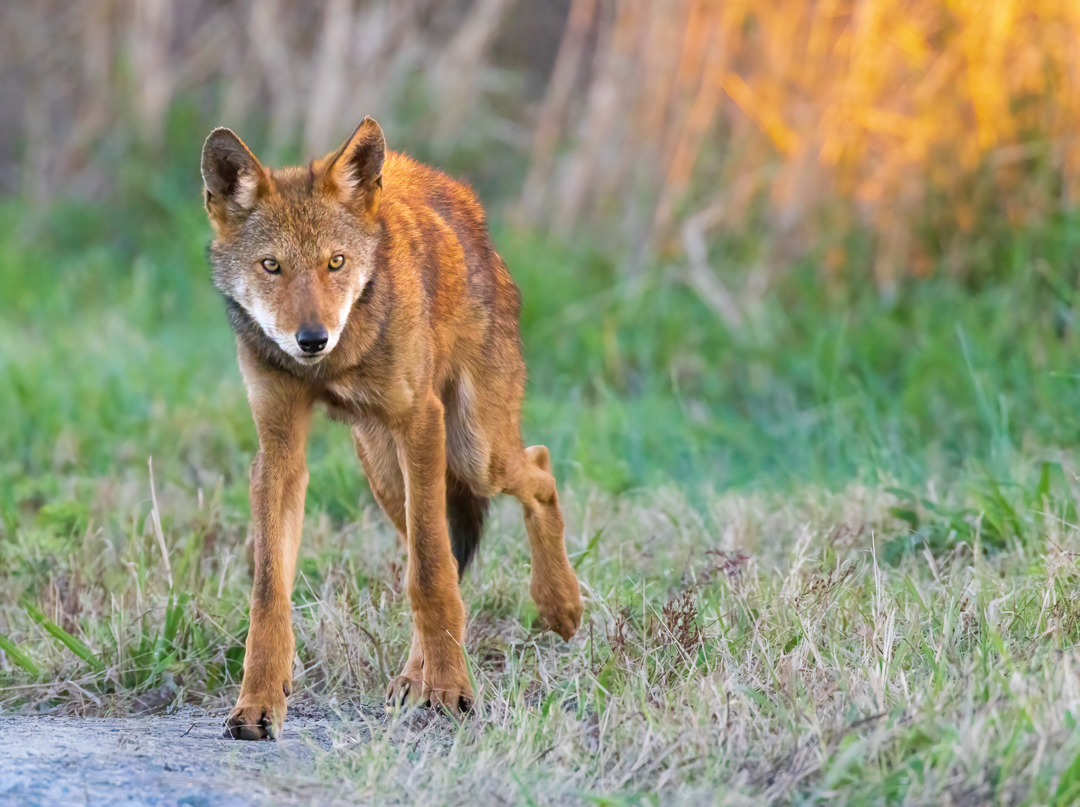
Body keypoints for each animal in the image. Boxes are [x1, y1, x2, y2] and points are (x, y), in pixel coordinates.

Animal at [200, 117, 583, 740]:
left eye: (335, 262)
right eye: (271, 266)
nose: (312, 339)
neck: (334, 366)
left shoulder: (419, 420)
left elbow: (429, 575)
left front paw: (452, 692)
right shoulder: (278, 450)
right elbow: (269, 593)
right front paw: (257, 702)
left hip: (473, 451)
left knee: (540, 467)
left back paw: (560, 606)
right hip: (386, 476)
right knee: (452, 548)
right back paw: (411, 680)